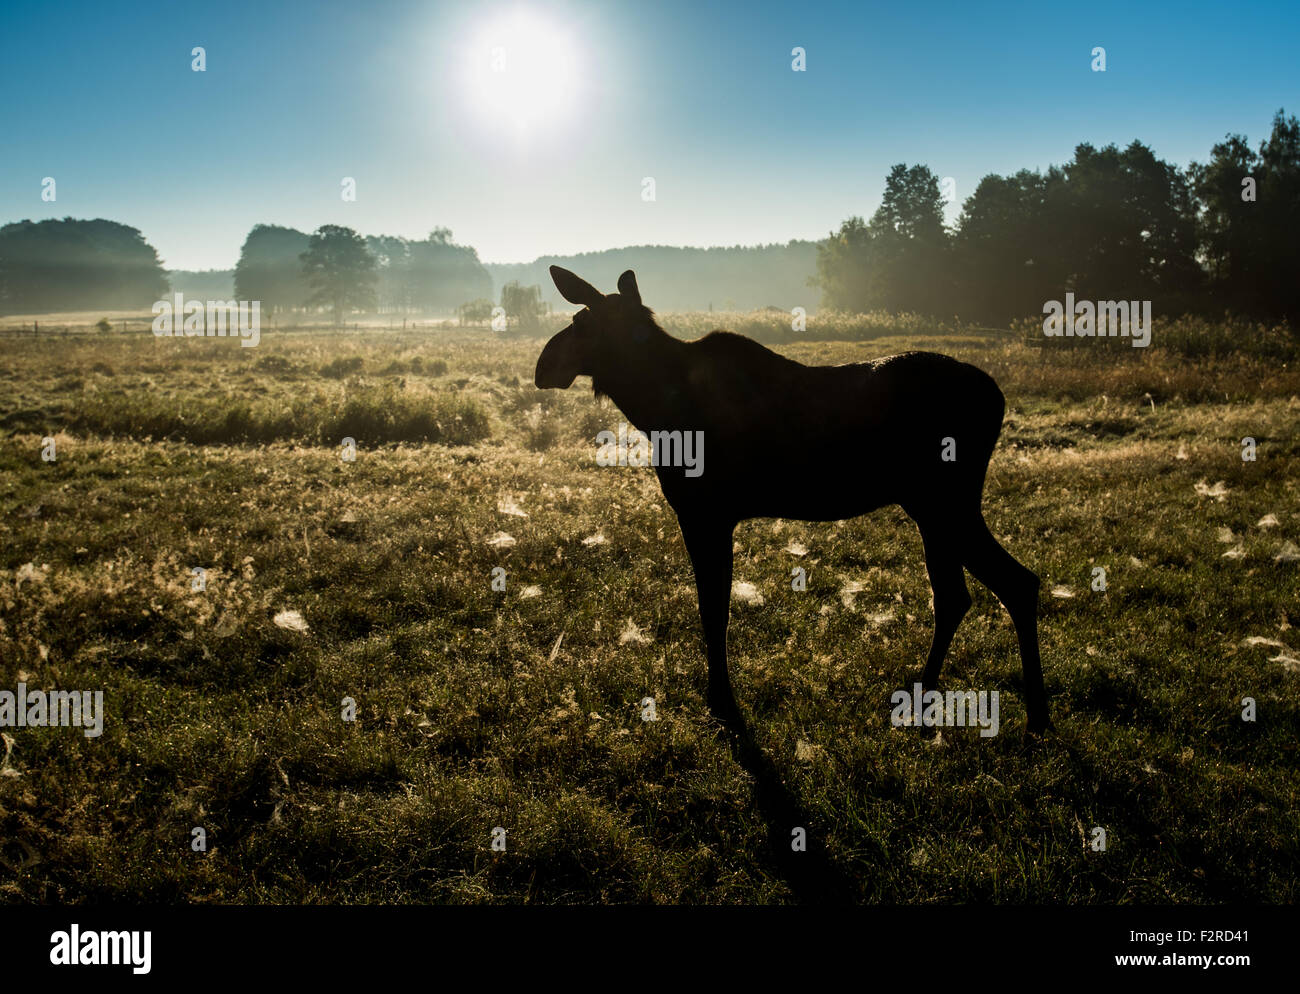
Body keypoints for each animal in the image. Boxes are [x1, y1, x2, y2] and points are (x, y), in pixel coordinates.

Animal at [534, 266, 1050, 735]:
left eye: (580, 321)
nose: (542, 364)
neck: (654, 410)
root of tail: (999, 398)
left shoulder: (706, 513)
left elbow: (713, 608)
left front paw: (722, 701)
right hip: (932, 506)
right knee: (963, 593)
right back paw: (930, 697)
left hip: (945, 501)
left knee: (1010, 583)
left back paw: (1032, 714)